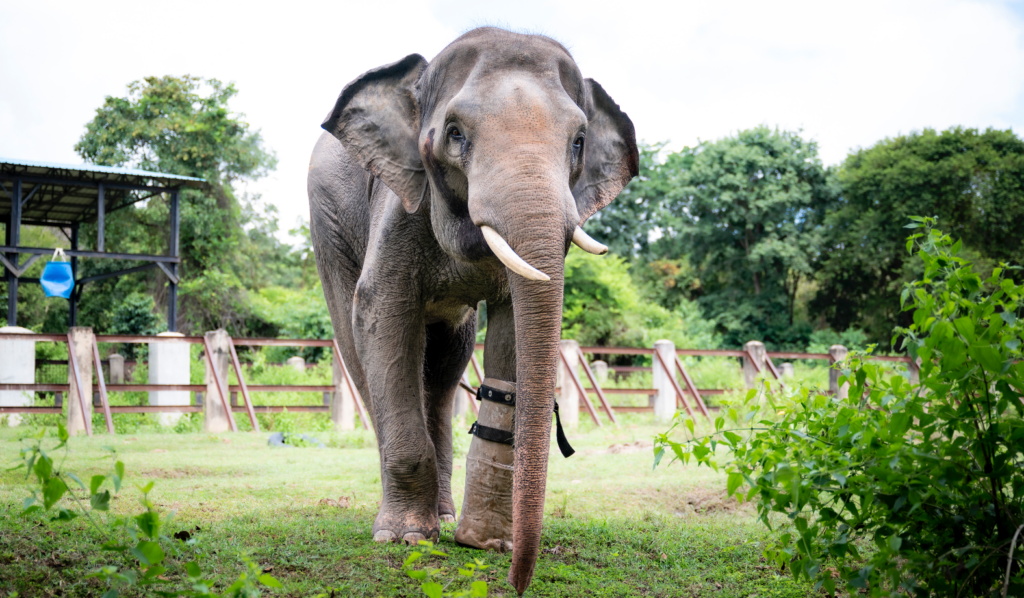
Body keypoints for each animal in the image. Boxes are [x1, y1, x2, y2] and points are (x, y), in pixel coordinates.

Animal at [307, 27, 637, 594]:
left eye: (578, 141)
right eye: (455, 134)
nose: (517, 582)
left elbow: (511, 327)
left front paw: (485, 543)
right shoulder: (401, 206)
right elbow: (381, 313)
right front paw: (405, 540)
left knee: (443, 370)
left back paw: (441, 517)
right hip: (326, 222)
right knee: (360, 352)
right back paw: (404, 524)